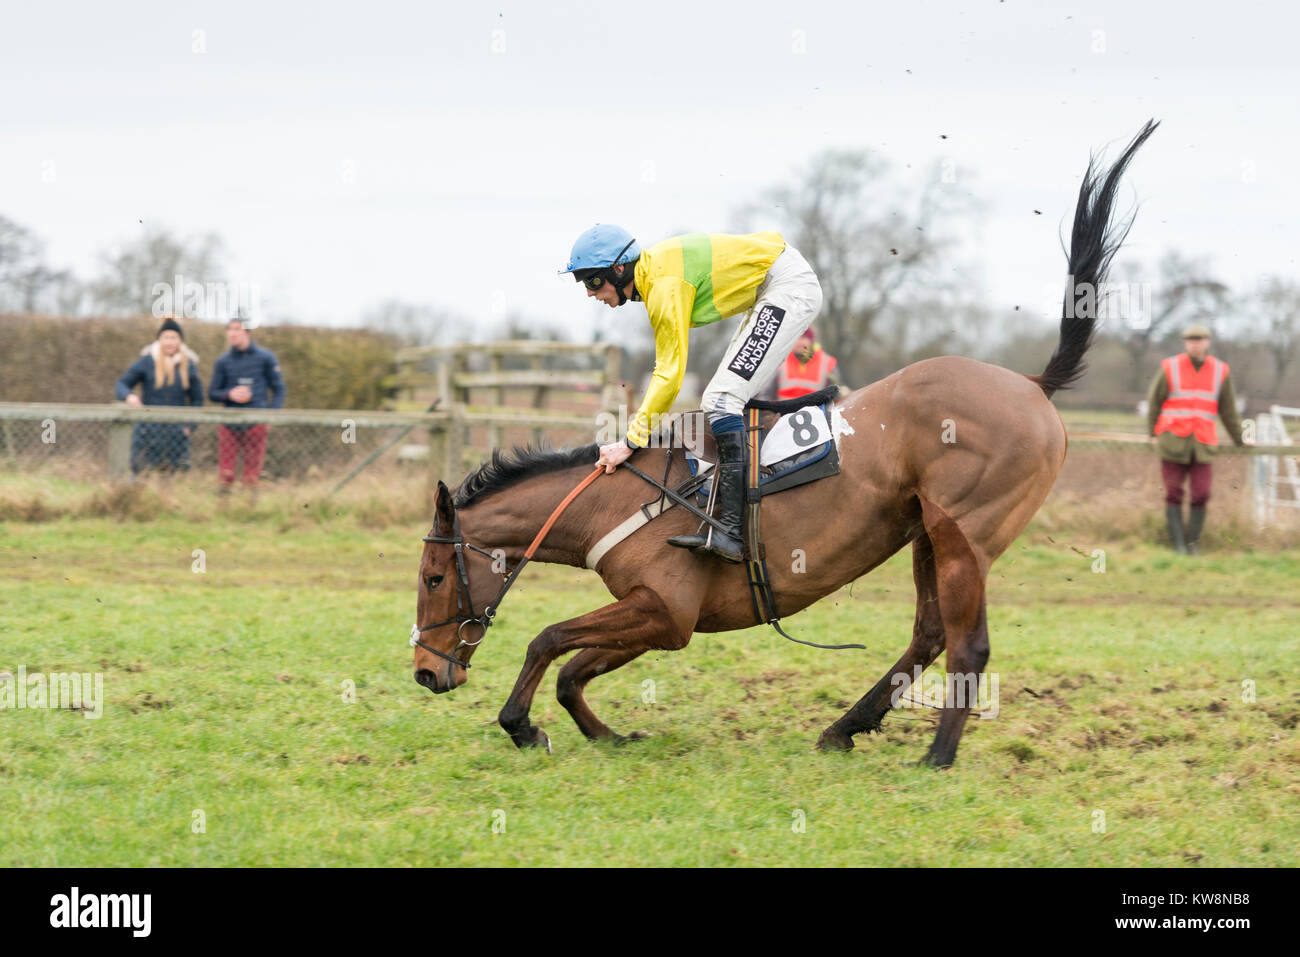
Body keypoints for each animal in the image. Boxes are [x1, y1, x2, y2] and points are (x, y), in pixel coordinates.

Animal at [412, 121, 1158, 767]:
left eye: (433, 577)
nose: (424, 672)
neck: (616, 502)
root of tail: (1032, 383)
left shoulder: (663, 609)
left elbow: (547, 639)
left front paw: (519, 724)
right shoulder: (663, 616)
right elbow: (572, 670)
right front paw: (606, 734)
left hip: (963, 534)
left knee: (967, 645)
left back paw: (936, 756)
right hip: (926, 531)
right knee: (929, 634)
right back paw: (845, 728)